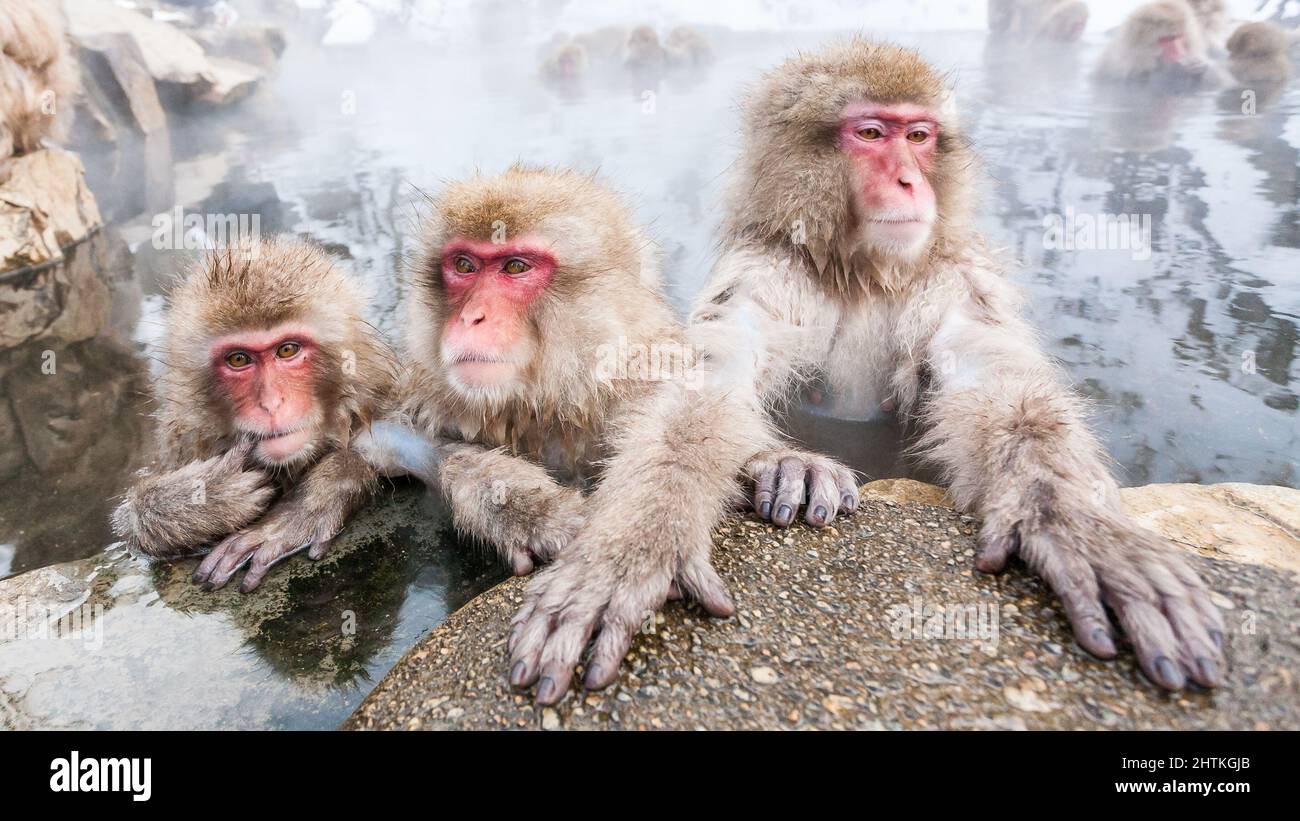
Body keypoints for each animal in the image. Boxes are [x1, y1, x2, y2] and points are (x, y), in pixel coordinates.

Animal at [507, 39, 1226, 706]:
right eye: (872, 134)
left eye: (919, 136)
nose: (910, 182)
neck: (859, 271)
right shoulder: (765, 271)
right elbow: (707, 388)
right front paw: (637, 541)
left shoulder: (951, 275)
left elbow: (996, 386)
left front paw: (1077, 521)